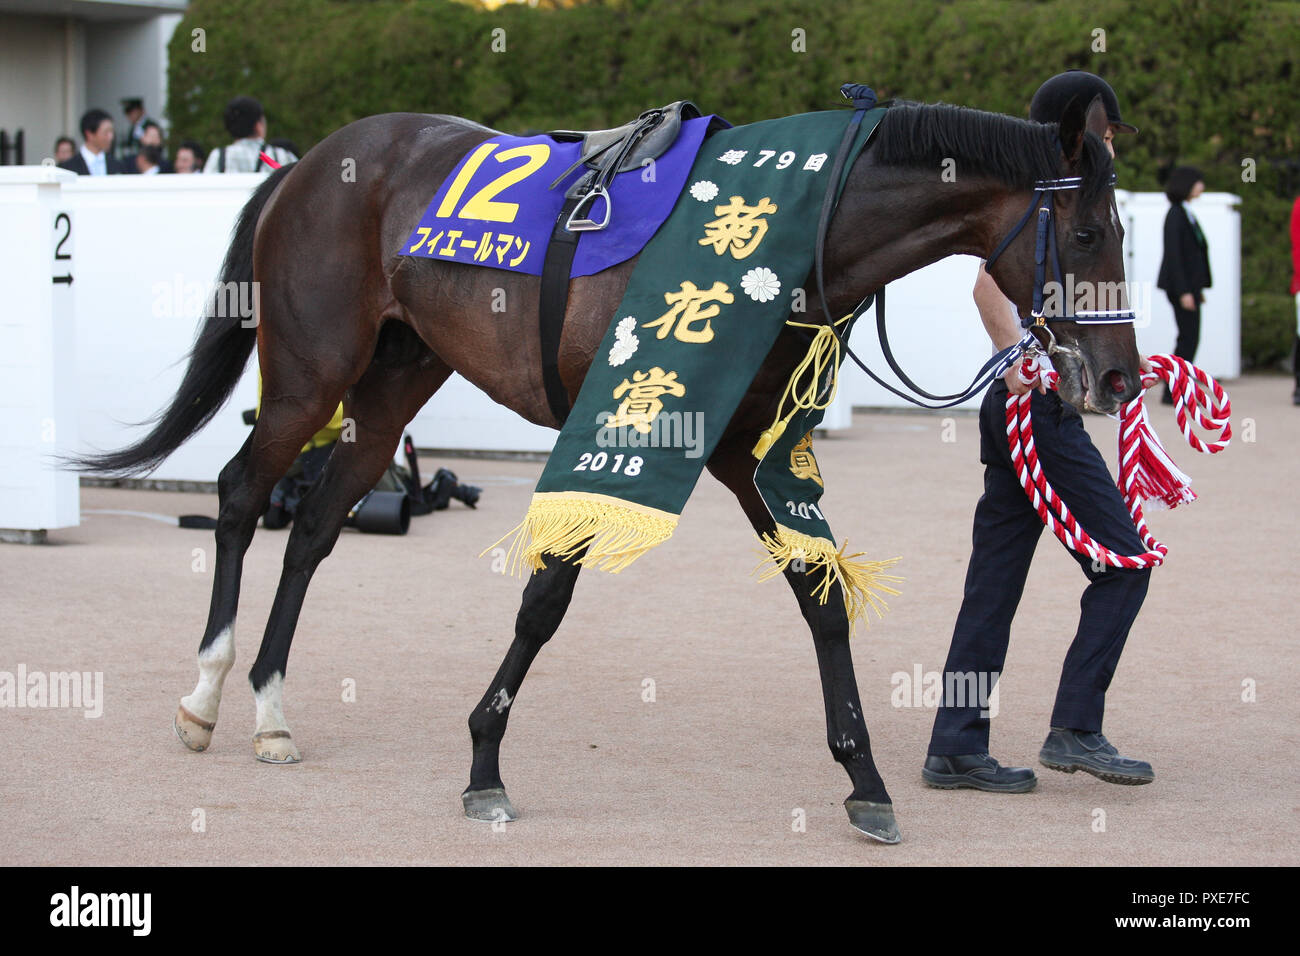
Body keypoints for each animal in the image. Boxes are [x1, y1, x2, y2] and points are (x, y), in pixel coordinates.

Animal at [74, 94, 1139, 843]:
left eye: (1121, 232)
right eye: (1090, 233)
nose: (1121, 375)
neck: (792, 228)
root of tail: (310, 164)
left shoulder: (742, 448)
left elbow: (819, 595)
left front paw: (865, 779)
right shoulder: (621, 429)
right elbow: (546, 600)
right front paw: (486, 763)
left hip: (388, 389)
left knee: (314, 526)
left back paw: (270, 709)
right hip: (309, 373)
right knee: (241, 494)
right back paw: (206, 694)